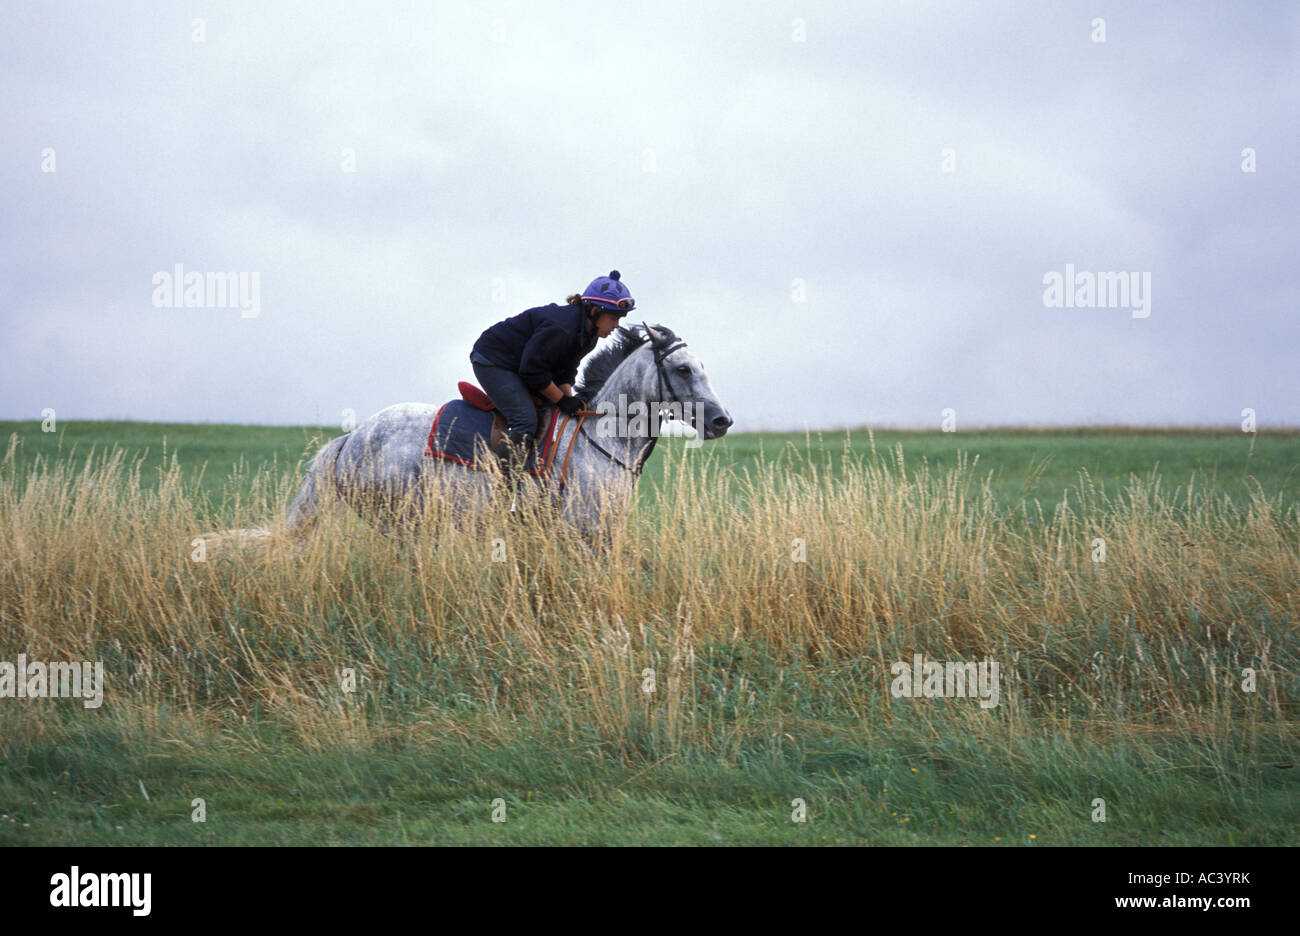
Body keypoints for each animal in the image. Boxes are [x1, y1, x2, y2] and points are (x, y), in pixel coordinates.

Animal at [283, 323, 732, 540]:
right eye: (683, 369)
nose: (721, 420)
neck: (603, 437)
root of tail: (352, 438)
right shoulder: (582, 531)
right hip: (399, 519)